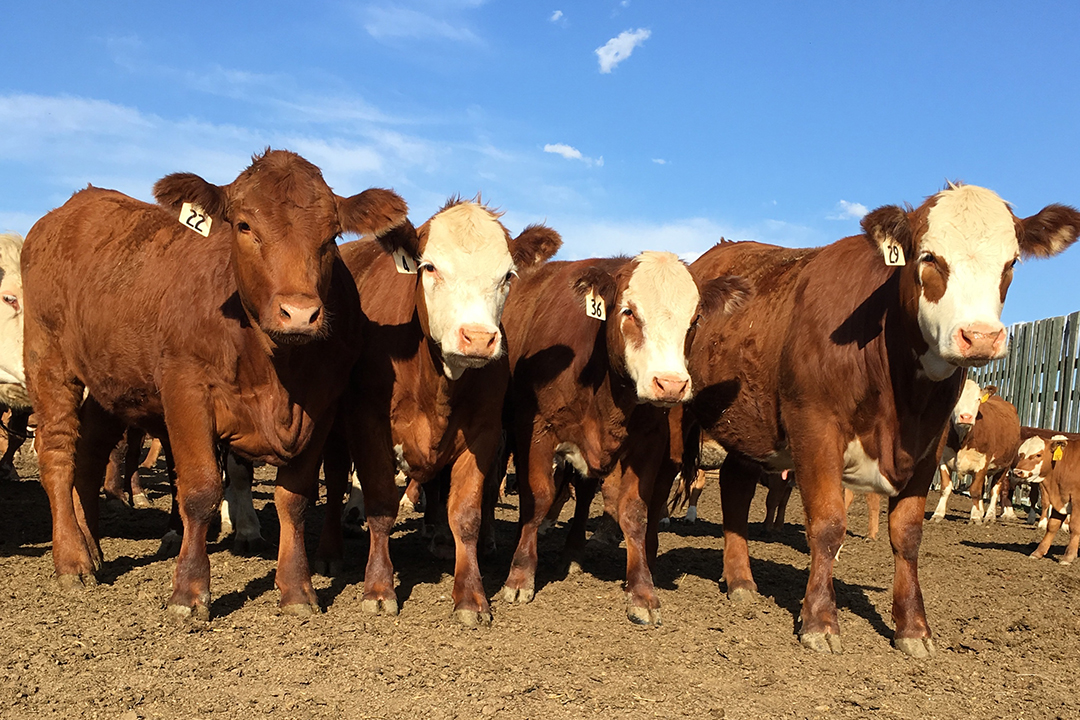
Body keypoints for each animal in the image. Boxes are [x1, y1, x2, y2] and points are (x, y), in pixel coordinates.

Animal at [22, 149, 408, 620]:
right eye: (243, 226)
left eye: (333, 235)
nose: (299, 313)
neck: (276, 371)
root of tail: (72, 206)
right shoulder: (186, 391)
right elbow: (201, 491)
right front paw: (189, 592)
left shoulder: (321, 406)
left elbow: (294, 499)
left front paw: (297, 589)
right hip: (47, 358)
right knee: (58, 452)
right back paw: (72, 561)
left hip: (109, 380)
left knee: (91, 453)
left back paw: (92, 547)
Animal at [313, 200, 562, 626]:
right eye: (429, 267)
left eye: (507, 276)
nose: (478, 338)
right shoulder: (369, 425)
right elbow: (381, 505)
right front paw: (378, 587)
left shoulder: (483, 433)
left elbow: (466, 514)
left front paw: (471, 596)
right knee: (333, 481)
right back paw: (330, 552)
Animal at [498, 251, 749, 625]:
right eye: (628, 311)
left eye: (695, 319)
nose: (670, 384)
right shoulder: (537, 432)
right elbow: (537, 498)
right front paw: (519, 575)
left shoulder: (649, 444)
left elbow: (635, 512)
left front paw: (642, 593)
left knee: (585, 493)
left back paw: (573, 554)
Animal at [931, 380, 1021, 524]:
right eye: (957, 398)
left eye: (978, 399)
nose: (966, 417)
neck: (963, 440)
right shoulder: (943, 460)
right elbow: (945, 488)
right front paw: (938, 514)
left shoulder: (982, 462)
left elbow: (975, 490)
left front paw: (974, 518)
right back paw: (981, 512)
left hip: (1004, 466)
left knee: (995, 490)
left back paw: (989, 516)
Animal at [1012, 431, 1080, 564]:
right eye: (1020, 454)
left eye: (1038, 454)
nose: (1017, 472)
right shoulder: (1061, 498)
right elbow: (1052, 525)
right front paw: (1038, 552)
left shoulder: (1077, 501)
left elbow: (1075, 527)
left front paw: (1068, 556)